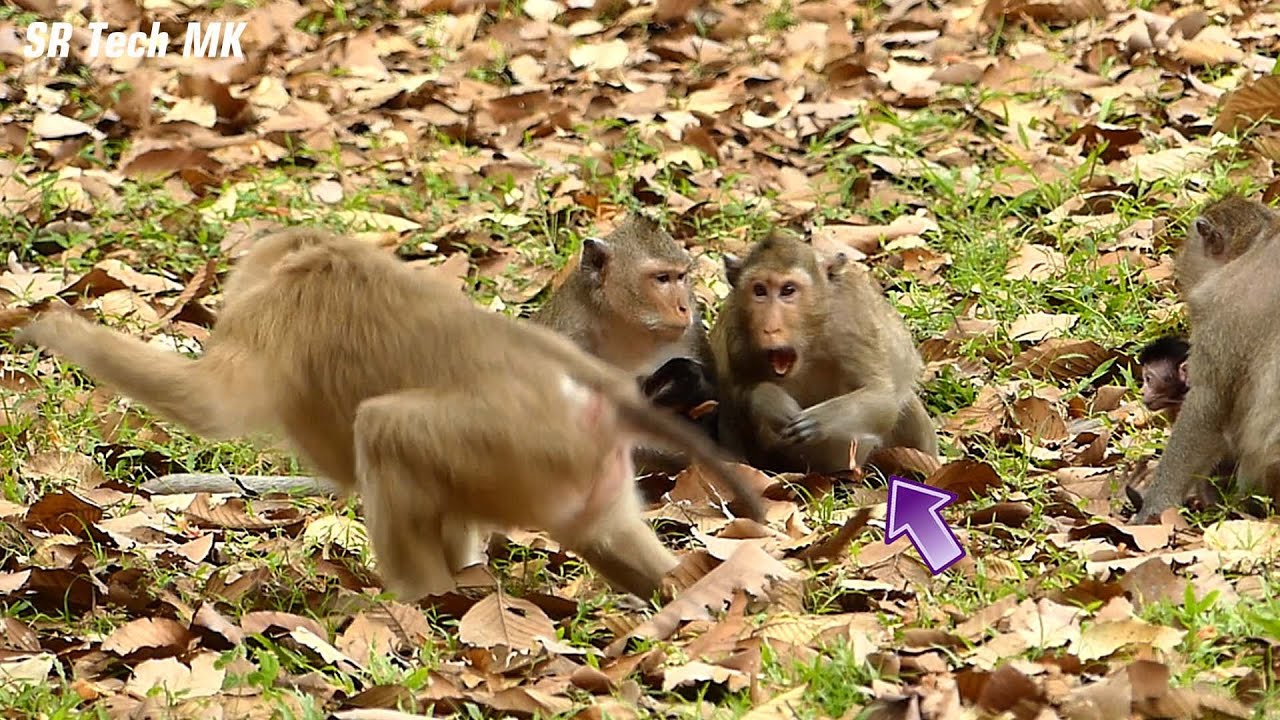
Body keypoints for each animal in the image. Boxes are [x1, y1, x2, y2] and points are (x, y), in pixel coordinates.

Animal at [532, 212, 718, 471]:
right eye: (662, 278)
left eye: (681, 277)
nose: (683, 308)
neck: (626, 329)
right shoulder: (567, 336)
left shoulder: (692, 332)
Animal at [707, 232, 938, 475]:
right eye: (759, 290)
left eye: (788, 290)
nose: (770, 329)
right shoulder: (735, 333)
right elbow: (735, 393)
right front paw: (771, 402)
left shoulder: (852, 324)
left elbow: (882, 398)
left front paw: (819, 421)